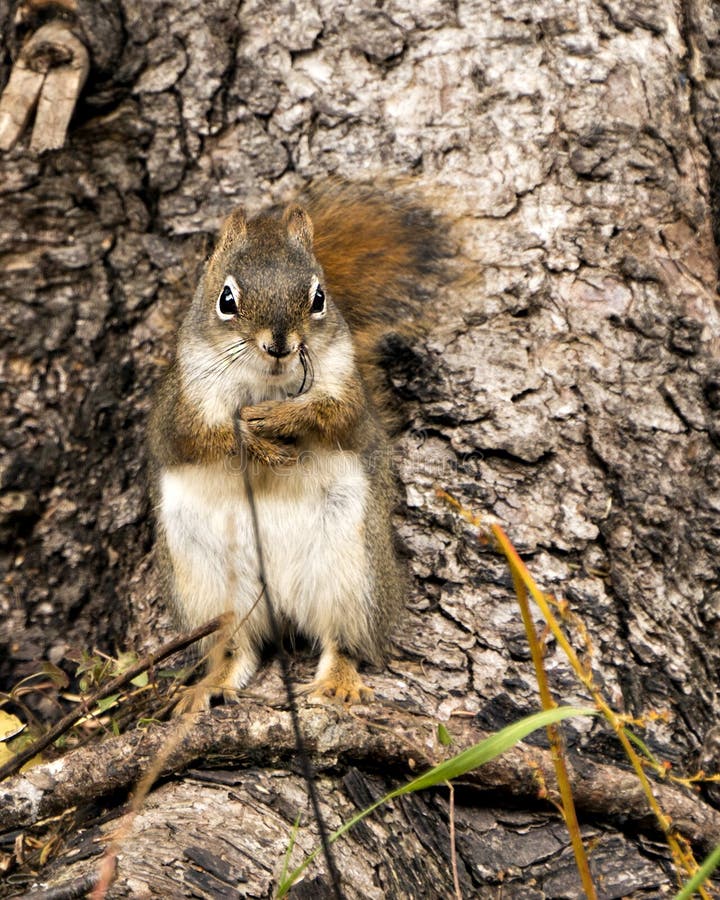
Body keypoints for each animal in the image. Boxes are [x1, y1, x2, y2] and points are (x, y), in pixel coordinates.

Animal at [148, 181, 447, 706]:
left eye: (319, 297)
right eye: (226, 299)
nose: (280, 344)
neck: (265, 382)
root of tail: (282, 605)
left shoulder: (347, 390)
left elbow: (335, 416)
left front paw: (282, 418)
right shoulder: (180, 407)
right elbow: (204, 437)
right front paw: (257, 442)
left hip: (352, 571)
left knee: (341, 640)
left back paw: (338, 682)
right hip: (208, 586)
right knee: (237, 648)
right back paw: (211, 685)